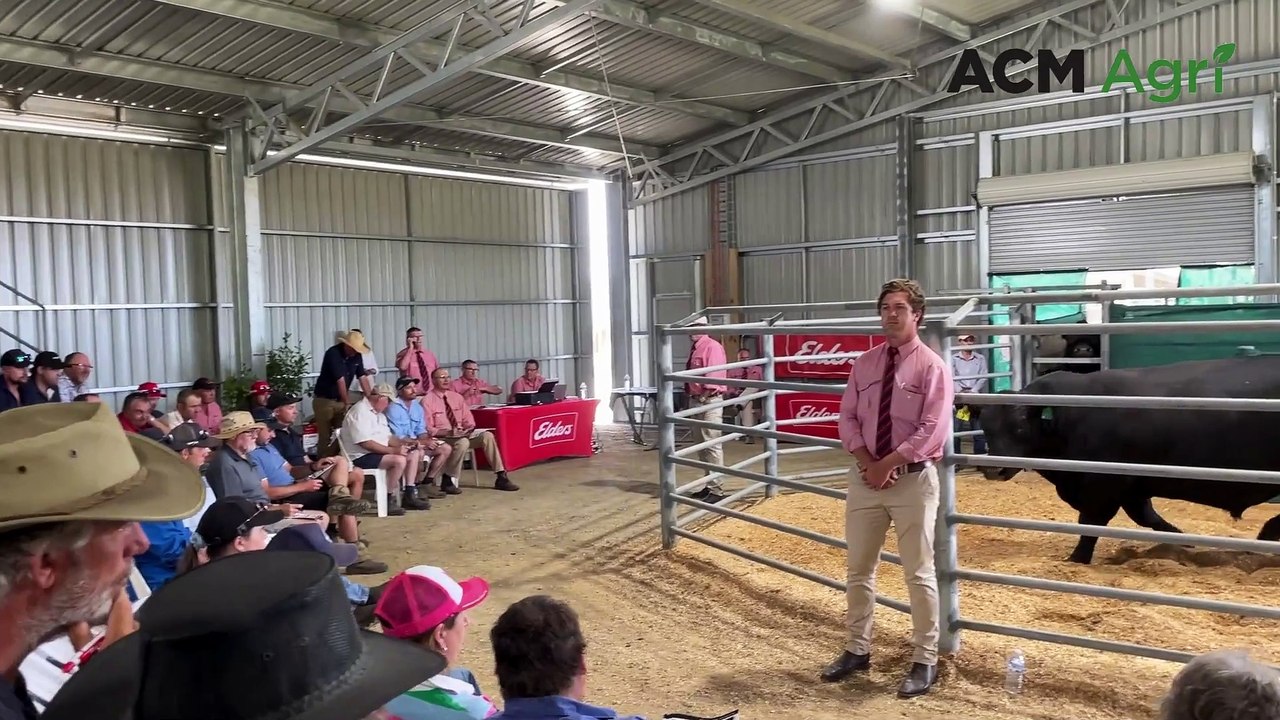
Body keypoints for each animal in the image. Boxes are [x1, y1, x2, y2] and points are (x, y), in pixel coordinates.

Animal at [972, 356, 1280, 564]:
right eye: (986, 426)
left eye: (1021, 425)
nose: (993, 469)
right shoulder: (1133, 485)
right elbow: (1146, 517)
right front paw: (1179, 540)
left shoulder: (1104, 485)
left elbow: (1090, 524)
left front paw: (1077, 559)